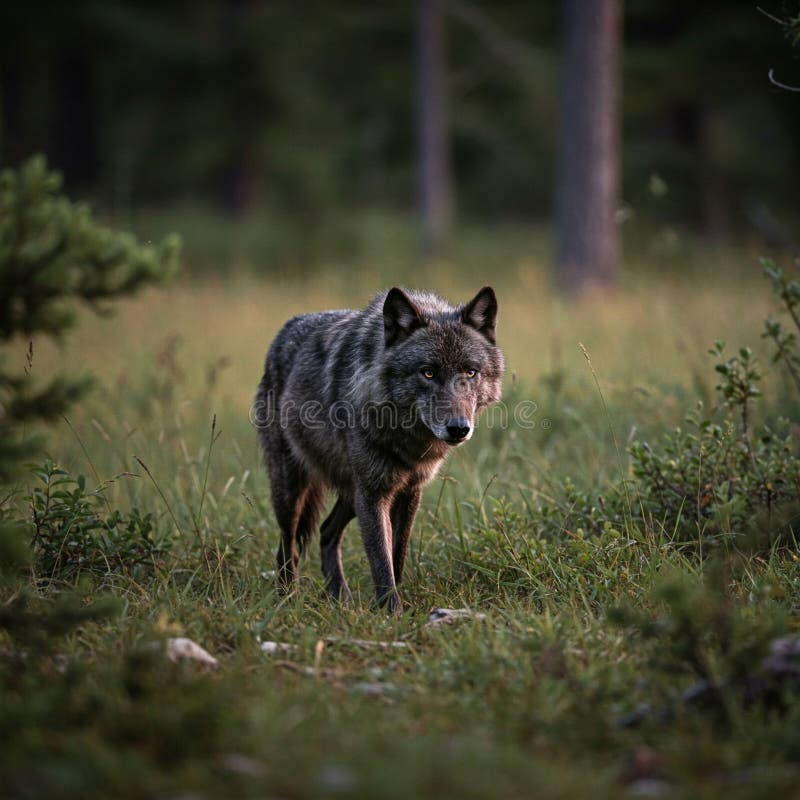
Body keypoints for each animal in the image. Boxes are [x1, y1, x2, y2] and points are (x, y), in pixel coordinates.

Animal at [254, 286, 504, 613]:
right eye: (428, 373)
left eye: (471, 372)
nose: (458, 428)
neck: (406, 437)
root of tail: (284, 330)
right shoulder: (374, 495)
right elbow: (380, 561)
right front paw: (392, 614)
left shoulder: (408, 492)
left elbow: (396, 556)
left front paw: (391, 609)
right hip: (293, 491)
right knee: (288, 546)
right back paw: (288, 599)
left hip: (351, 495)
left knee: (326, 532)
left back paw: (339, 597)